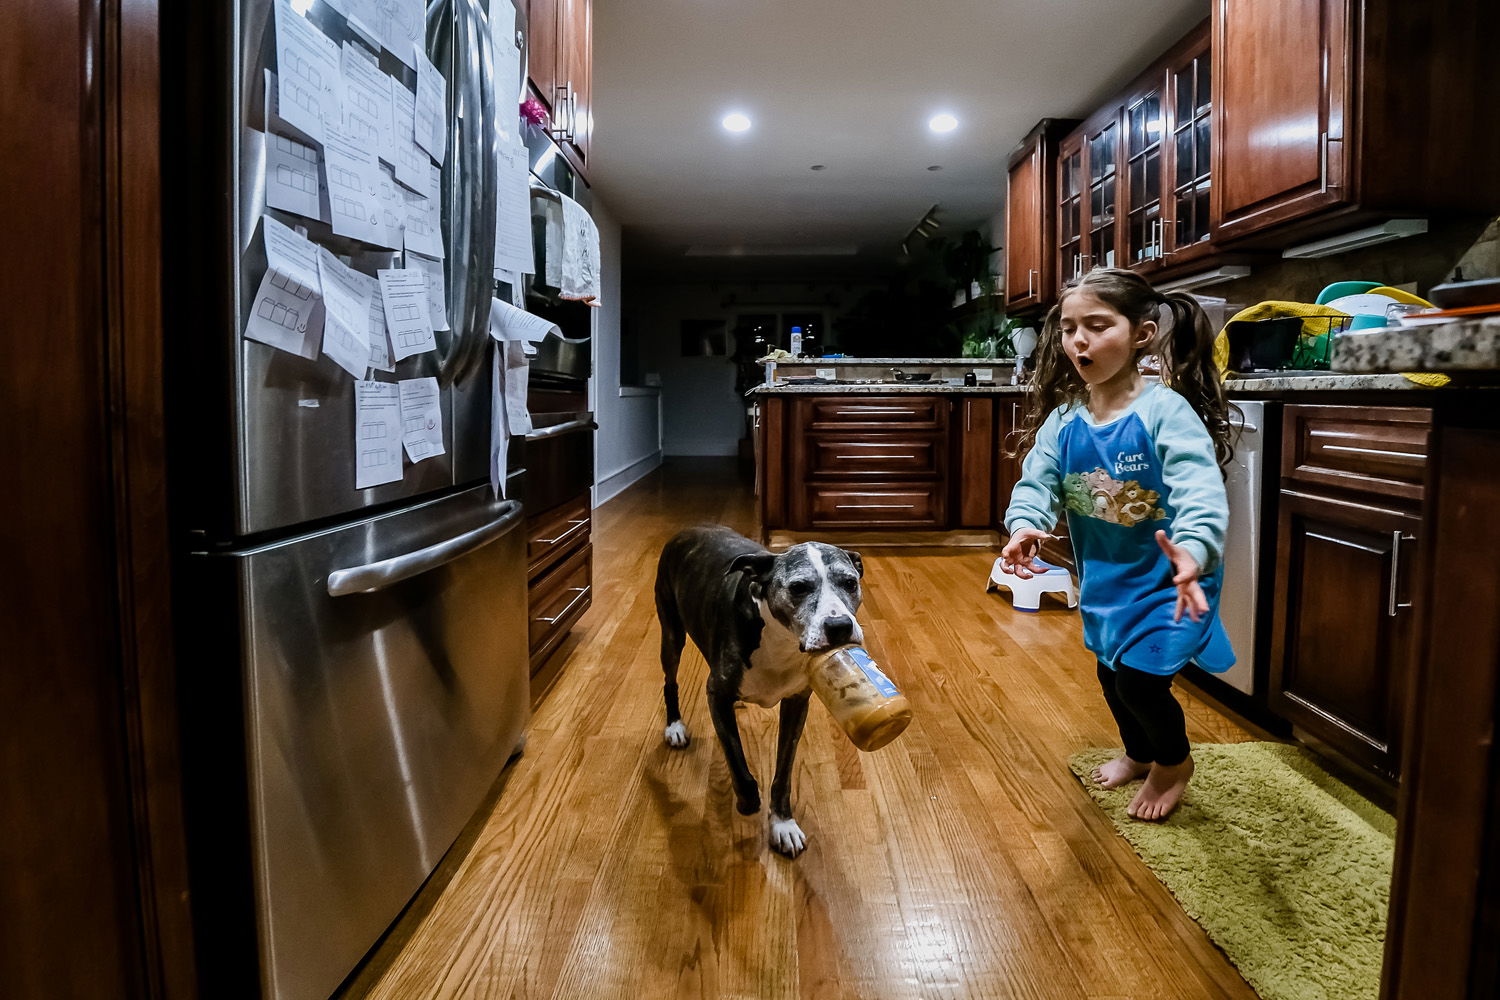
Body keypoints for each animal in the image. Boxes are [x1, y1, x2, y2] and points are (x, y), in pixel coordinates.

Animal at [657, 524, 870, 863]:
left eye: (850, 582)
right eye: (798, 587)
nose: (838, 625)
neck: (781, 640)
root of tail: (691, 528)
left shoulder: (797, 703)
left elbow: (783, 772)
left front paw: (783, 824)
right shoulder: (717, 693)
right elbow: (735, 756)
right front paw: (747, 801)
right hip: (671, 632)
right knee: (670, 679)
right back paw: (675, 726)